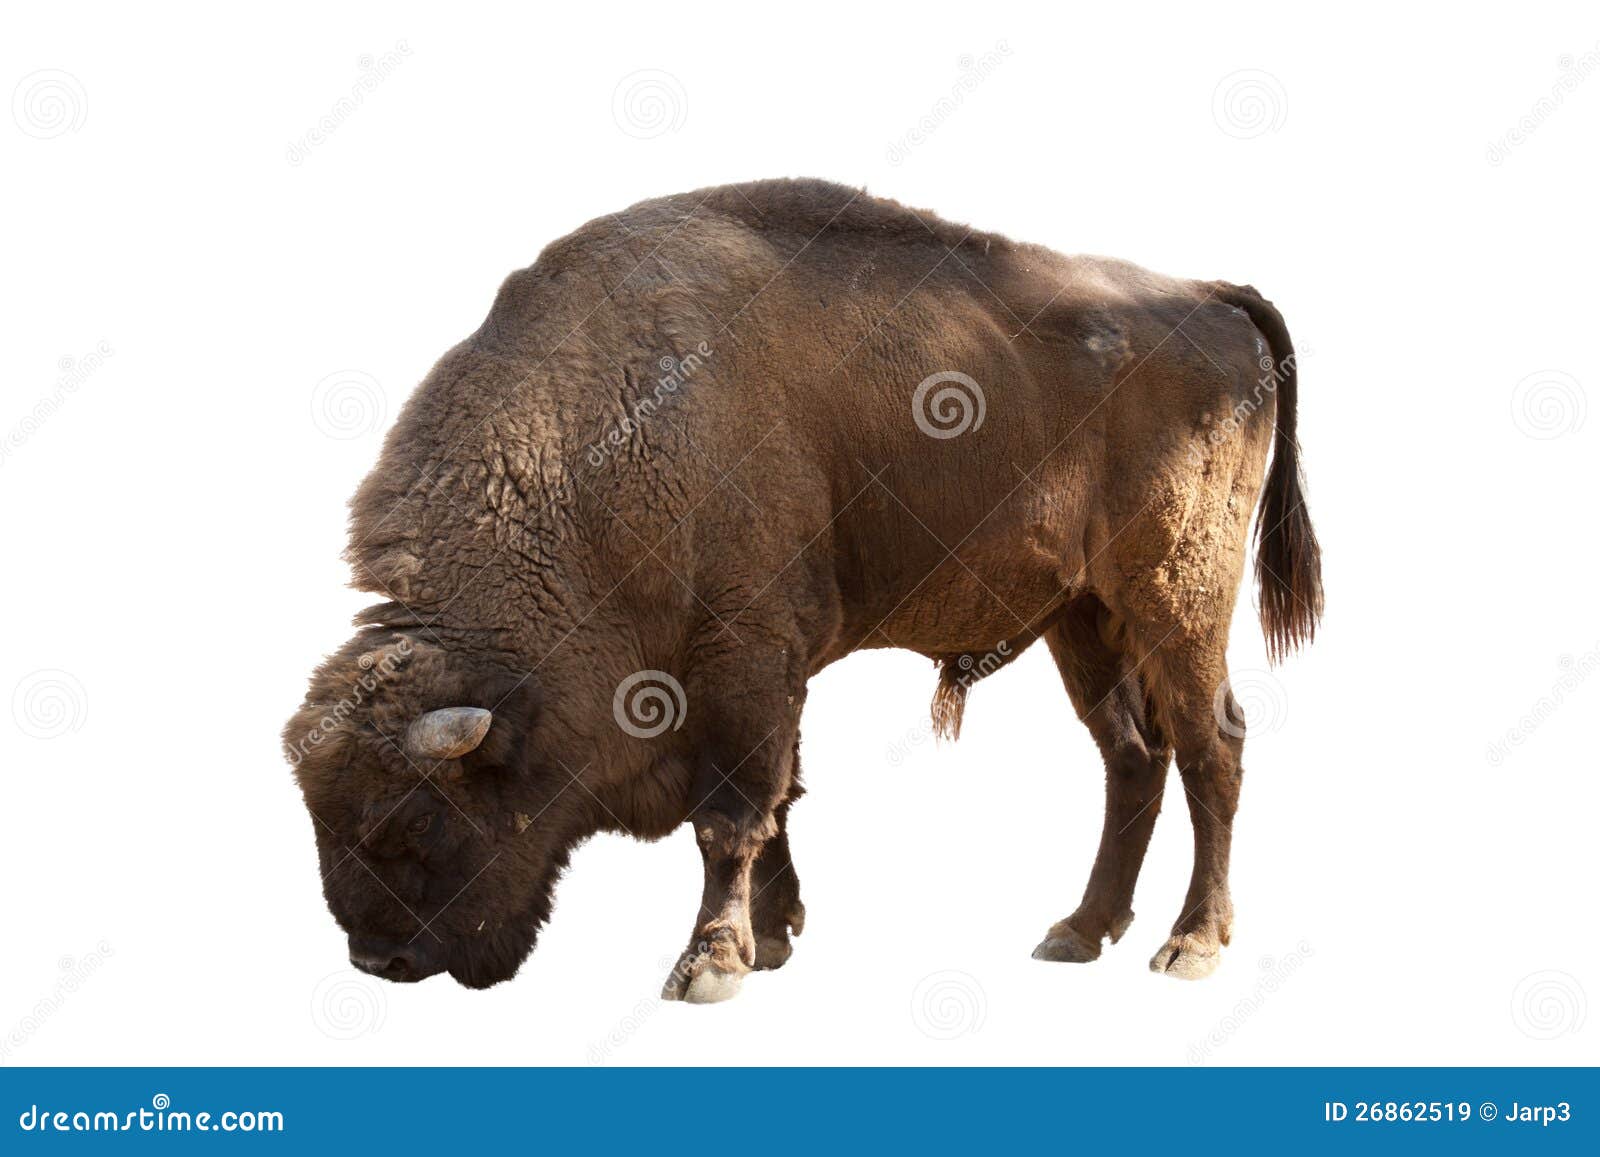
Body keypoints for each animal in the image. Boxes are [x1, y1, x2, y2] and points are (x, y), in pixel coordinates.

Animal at [284, 178, 1321, 1000]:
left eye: (416, 813)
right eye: (319, 815)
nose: (379, 960)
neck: (592, 456)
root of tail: (1210, 297)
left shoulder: (744, 661)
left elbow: (731, 814)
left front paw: (709, 965)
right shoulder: (765, 676)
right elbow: (778, 799)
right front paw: (773, 937)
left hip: (1177, 597)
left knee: (1212, 746)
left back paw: (1189, 945)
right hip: (1083, 616)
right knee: (1132, 756)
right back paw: (1077, 931)